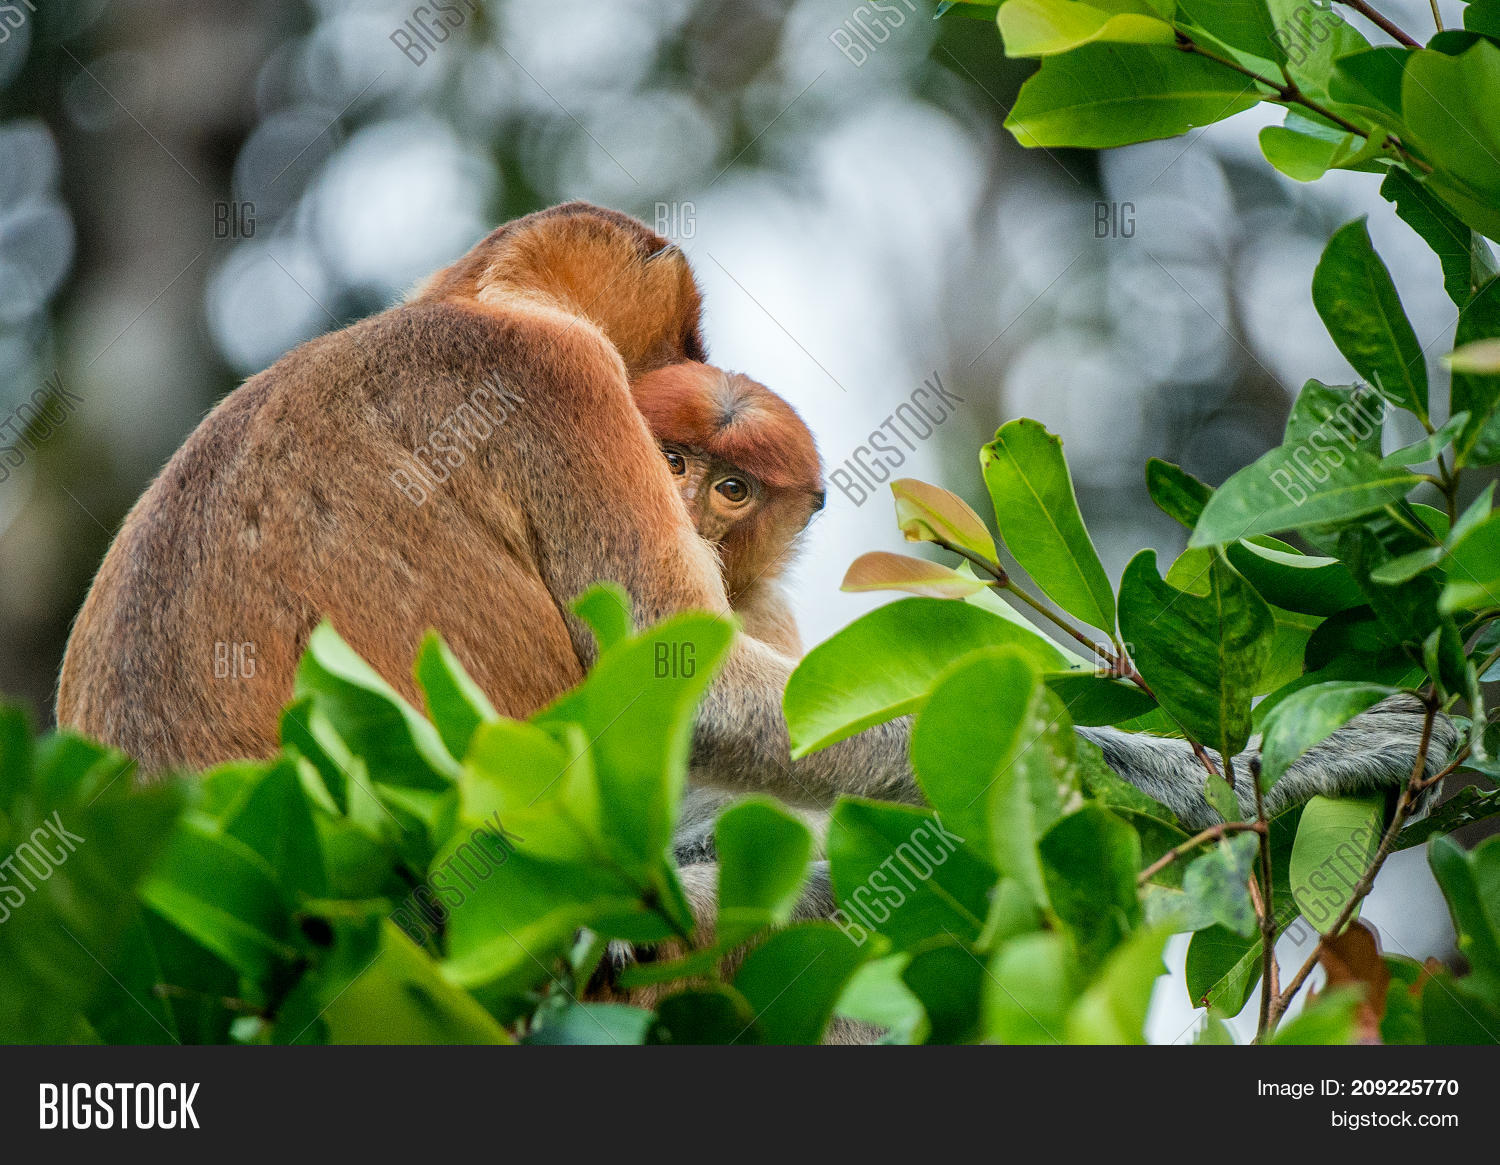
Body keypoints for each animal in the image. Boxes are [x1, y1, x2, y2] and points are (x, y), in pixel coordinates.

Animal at [56, 201, 1453, 951]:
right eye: (664, 431)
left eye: (719, 475)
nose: (684, 475)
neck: (463, 302)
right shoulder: (556, 386)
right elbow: (693, 683)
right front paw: (1253, 771)